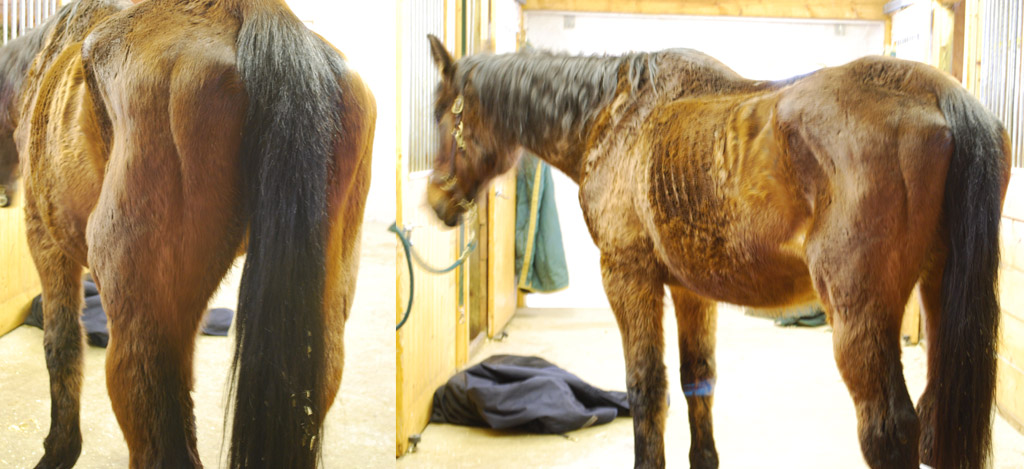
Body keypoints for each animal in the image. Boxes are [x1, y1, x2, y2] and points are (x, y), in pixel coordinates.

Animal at [424, 35, 1010, 469]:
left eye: (441, 115)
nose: (435, 201)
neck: (617, 117)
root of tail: (938, 95)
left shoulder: (627, 276)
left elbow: (646, 389)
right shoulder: (691, 292)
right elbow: (696, 384)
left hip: (858, 316)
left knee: (890, 431)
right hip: (937, 300)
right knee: (938, 419)